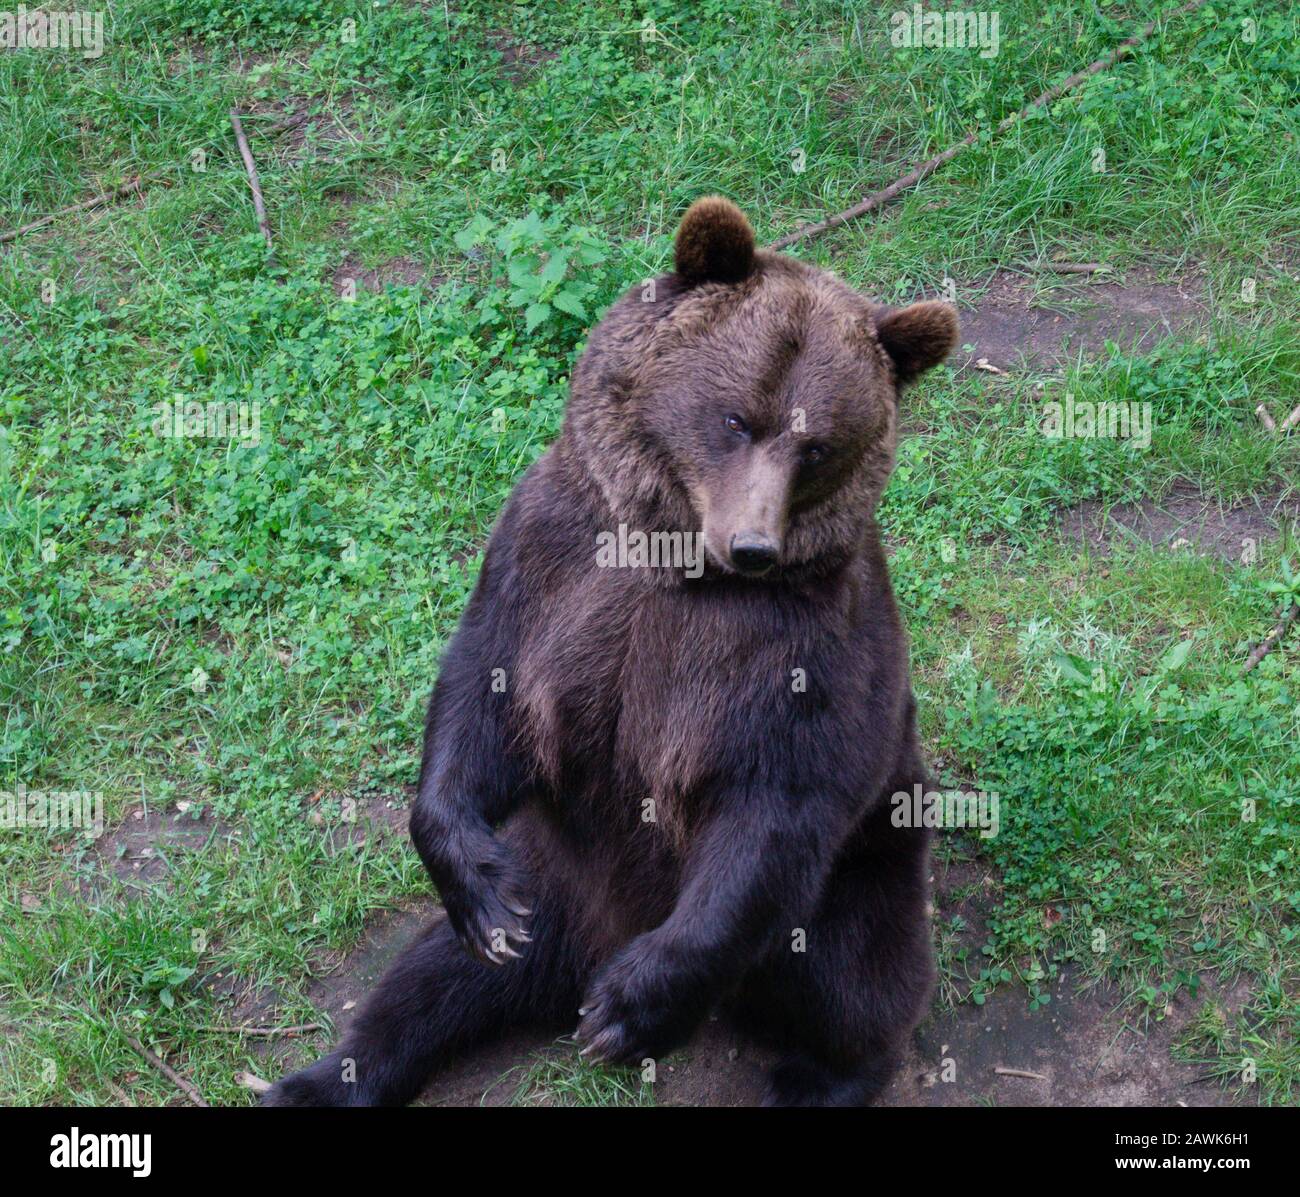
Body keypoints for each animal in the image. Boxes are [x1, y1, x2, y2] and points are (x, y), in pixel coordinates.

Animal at [265, 196, 958, 1107]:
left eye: (818, 445)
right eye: (736, 418)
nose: (754, 547)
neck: (673, 557)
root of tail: (587, 946)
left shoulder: (808, 643)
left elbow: (777, 800)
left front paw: (630, 1008)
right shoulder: (554, 554)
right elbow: (483, 687)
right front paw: (478, 890)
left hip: (863, 871)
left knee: (855, 975)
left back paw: (820, 1076)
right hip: (555, 876)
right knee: (430, 978)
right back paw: (323, 1077)